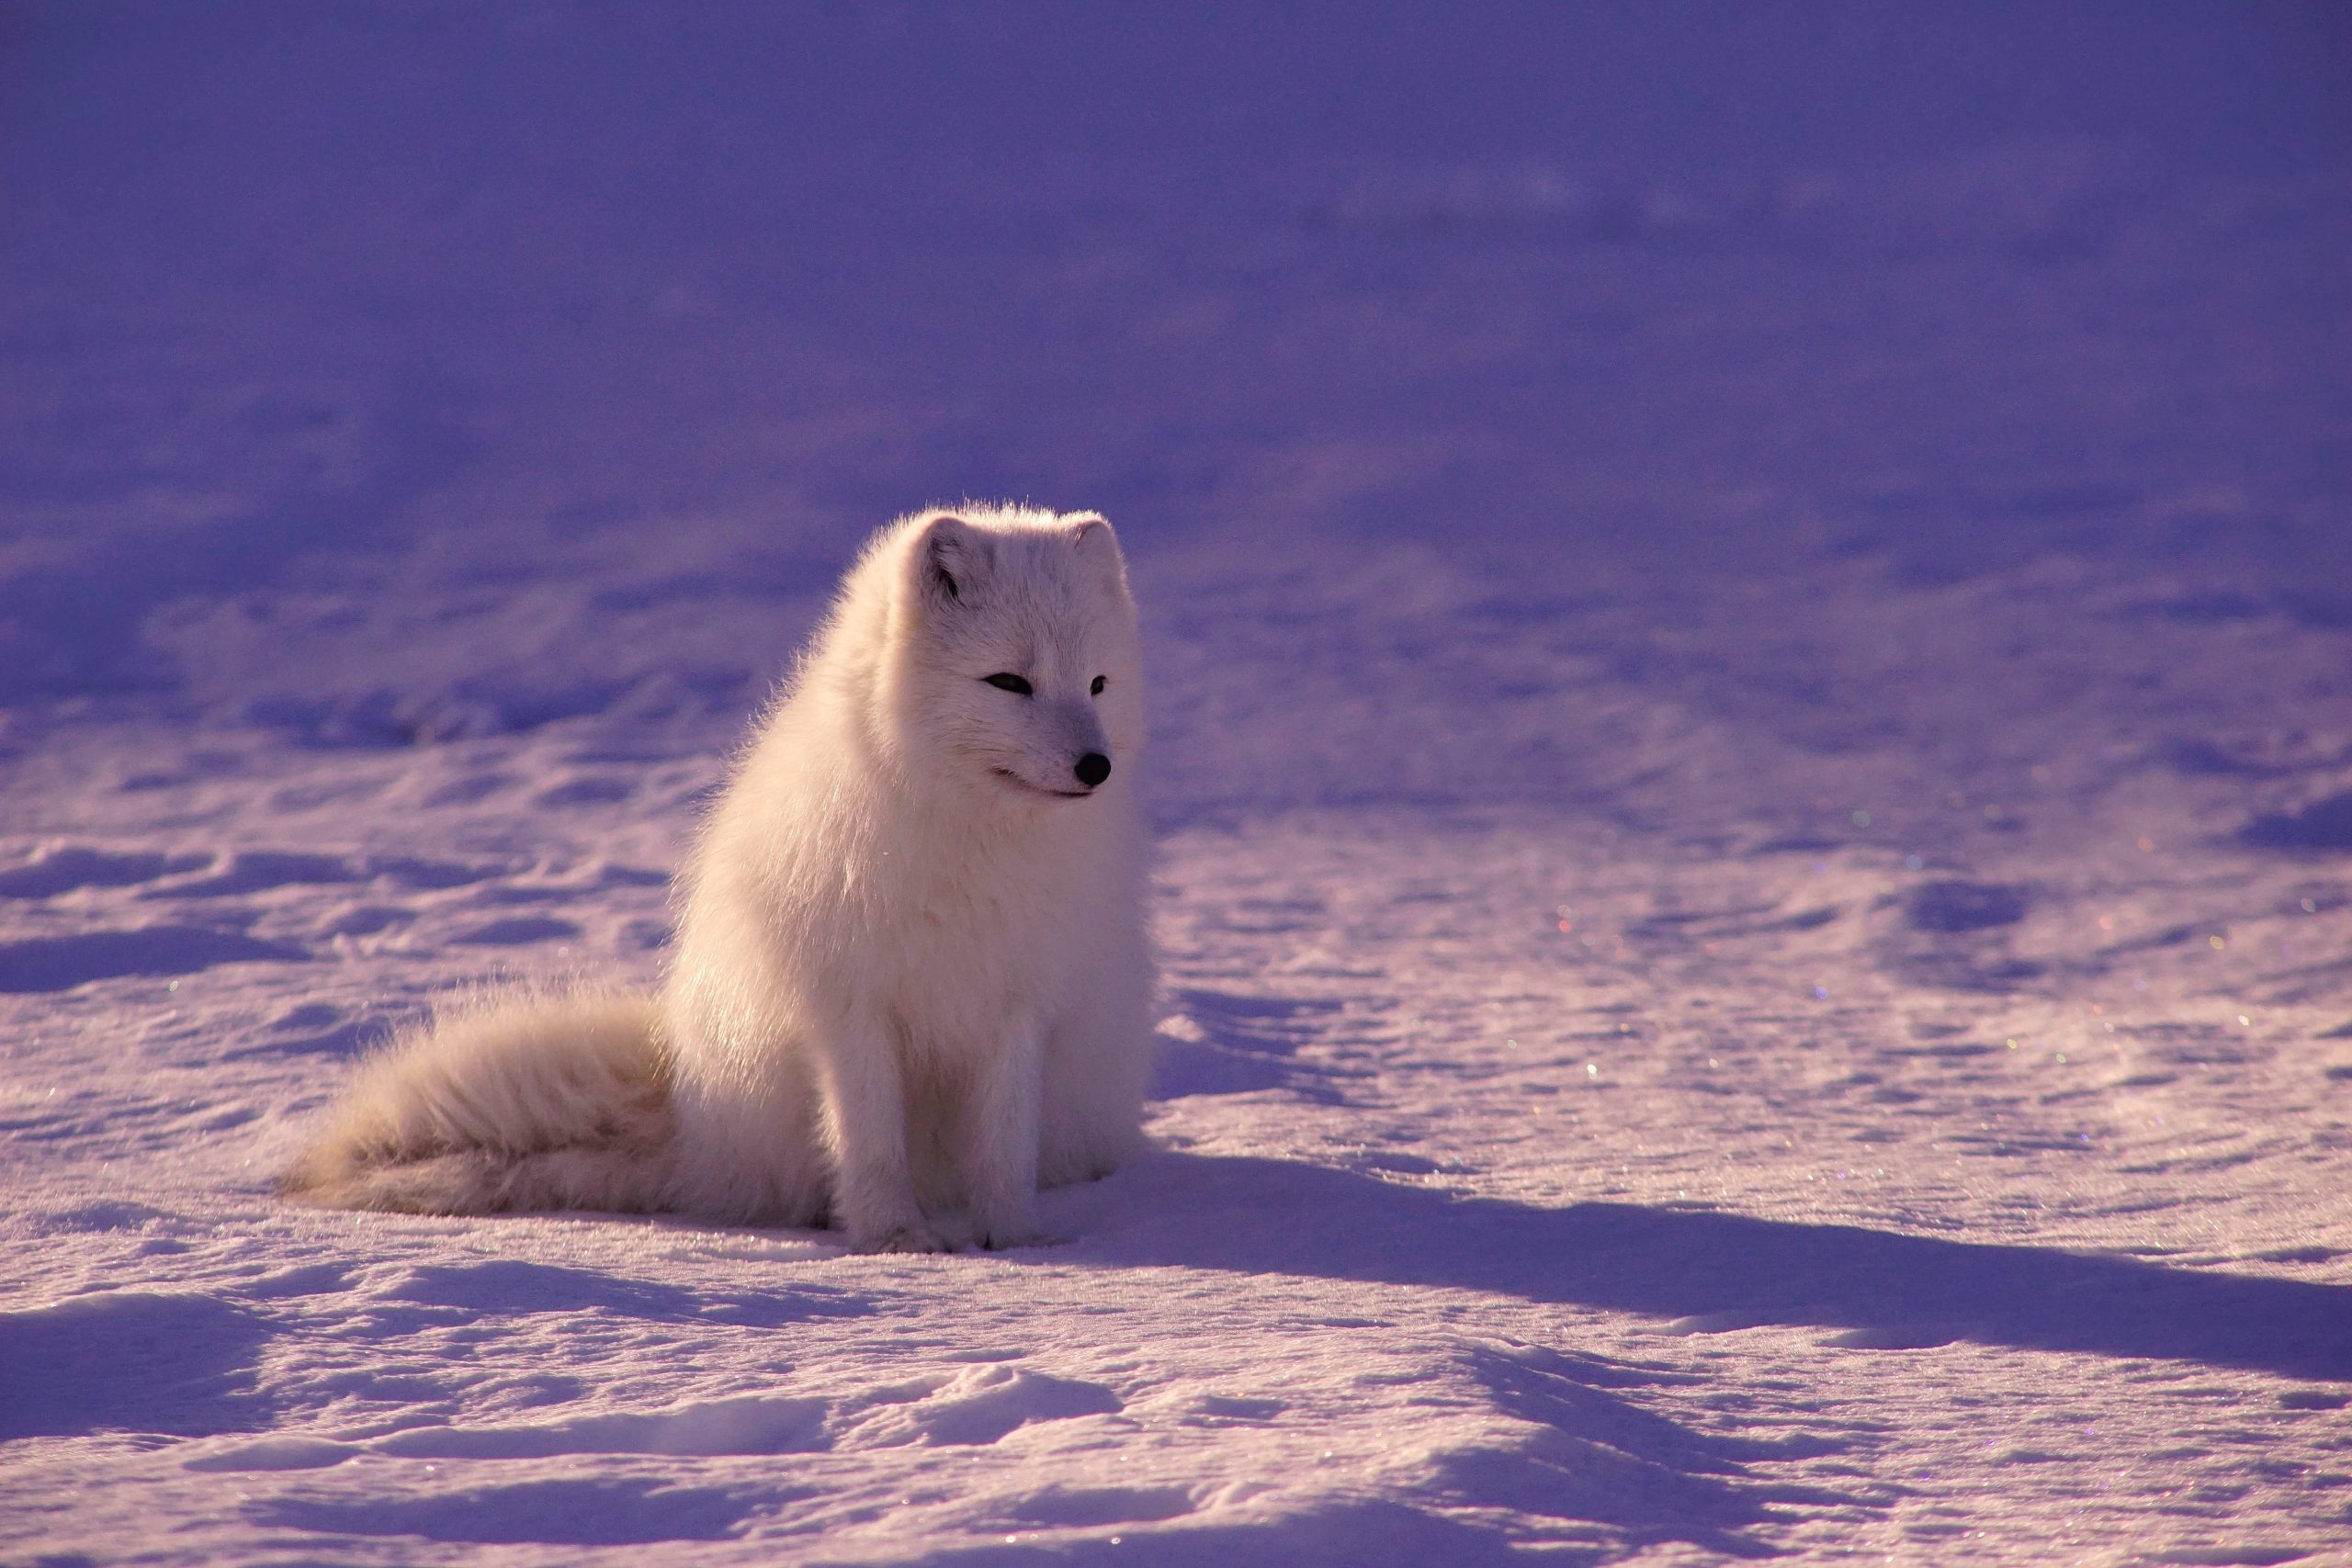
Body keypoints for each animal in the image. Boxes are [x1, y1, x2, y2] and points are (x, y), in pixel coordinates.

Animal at [281, 505, 1156, 1253]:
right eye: (1009, 682)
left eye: (1097, 683)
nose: (1096, 766)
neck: (972, 843)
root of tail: (692, 1122)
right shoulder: (850, 1006)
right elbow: (870, 1141)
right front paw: (896, 1239)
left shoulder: (1018, 1005)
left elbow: (1004, 1146)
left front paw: (1012, 1238)